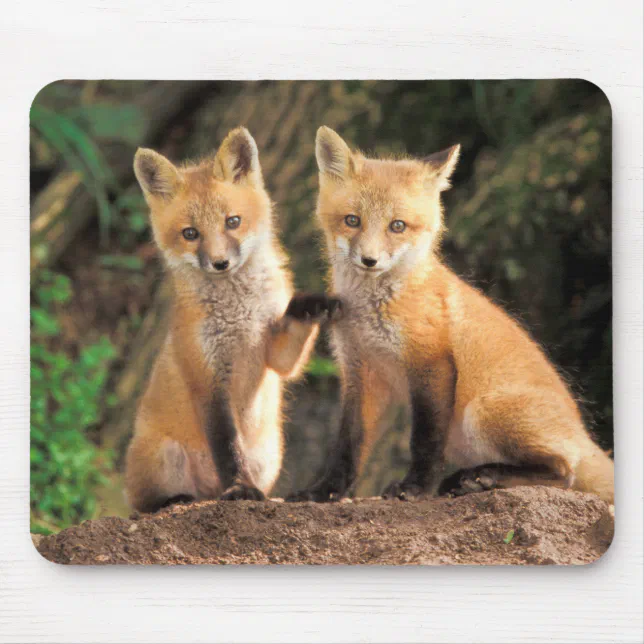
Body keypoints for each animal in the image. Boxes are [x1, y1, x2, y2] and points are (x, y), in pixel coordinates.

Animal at [125, 127, 342, 512]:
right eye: (190, 234)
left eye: (233, 222)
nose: (220, 263)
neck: (239, 315)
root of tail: (207, 492)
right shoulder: (208, 379)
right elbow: (227, 448)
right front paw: (240, 488)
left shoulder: (274, 353)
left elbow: (290, 339)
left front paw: (313, 304)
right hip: (164, 457)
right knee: (143, 503)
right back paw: (176, 500)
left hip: (269, 456)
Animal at [287, 126, 614, 505]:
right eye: (352, 221)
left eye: (397, 226)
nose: (369, 260)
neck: (371, 313)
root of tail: (583, 435)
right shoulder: (361, 371)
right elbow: (348, 444)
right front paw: (324, 490)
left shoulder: (431, 362)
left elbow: (425, 440)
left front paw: (414, 487)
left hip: (482, 412)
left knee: (564, 471)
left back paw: (482, 478)